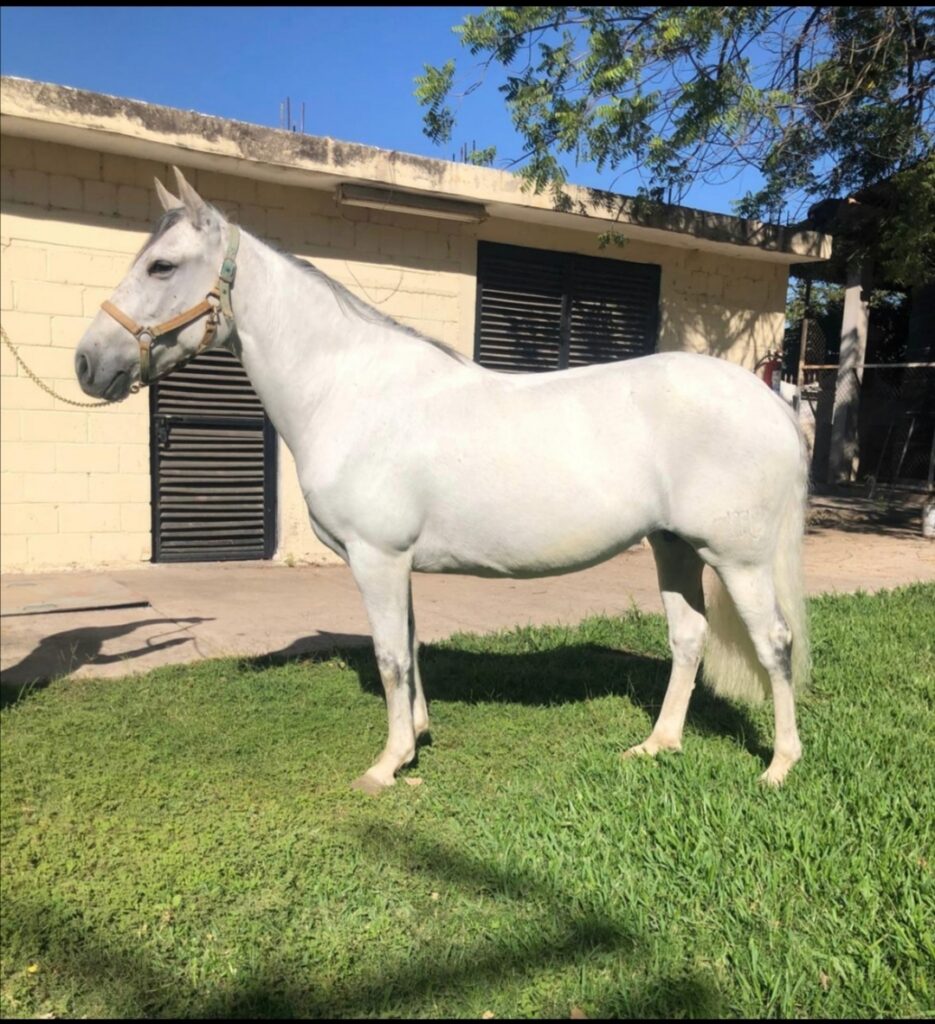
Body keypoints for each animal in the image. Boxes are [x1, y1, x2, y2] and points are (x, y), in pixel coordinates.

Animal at [75, 167, 810, 792]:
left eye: (162, 265)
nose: (88, 364)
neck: (349, 391)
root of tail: (769, 401)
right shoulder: (395, 562)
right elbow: (409, 644)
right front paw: (417, 737)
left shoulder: (375, 557)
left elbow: (389, 655)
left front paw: (386, 765)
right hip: (673, 547)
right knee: (688, 639)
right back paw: (657, 745)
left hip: (738, 559)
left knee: (774, 645)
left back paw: (778, 766)